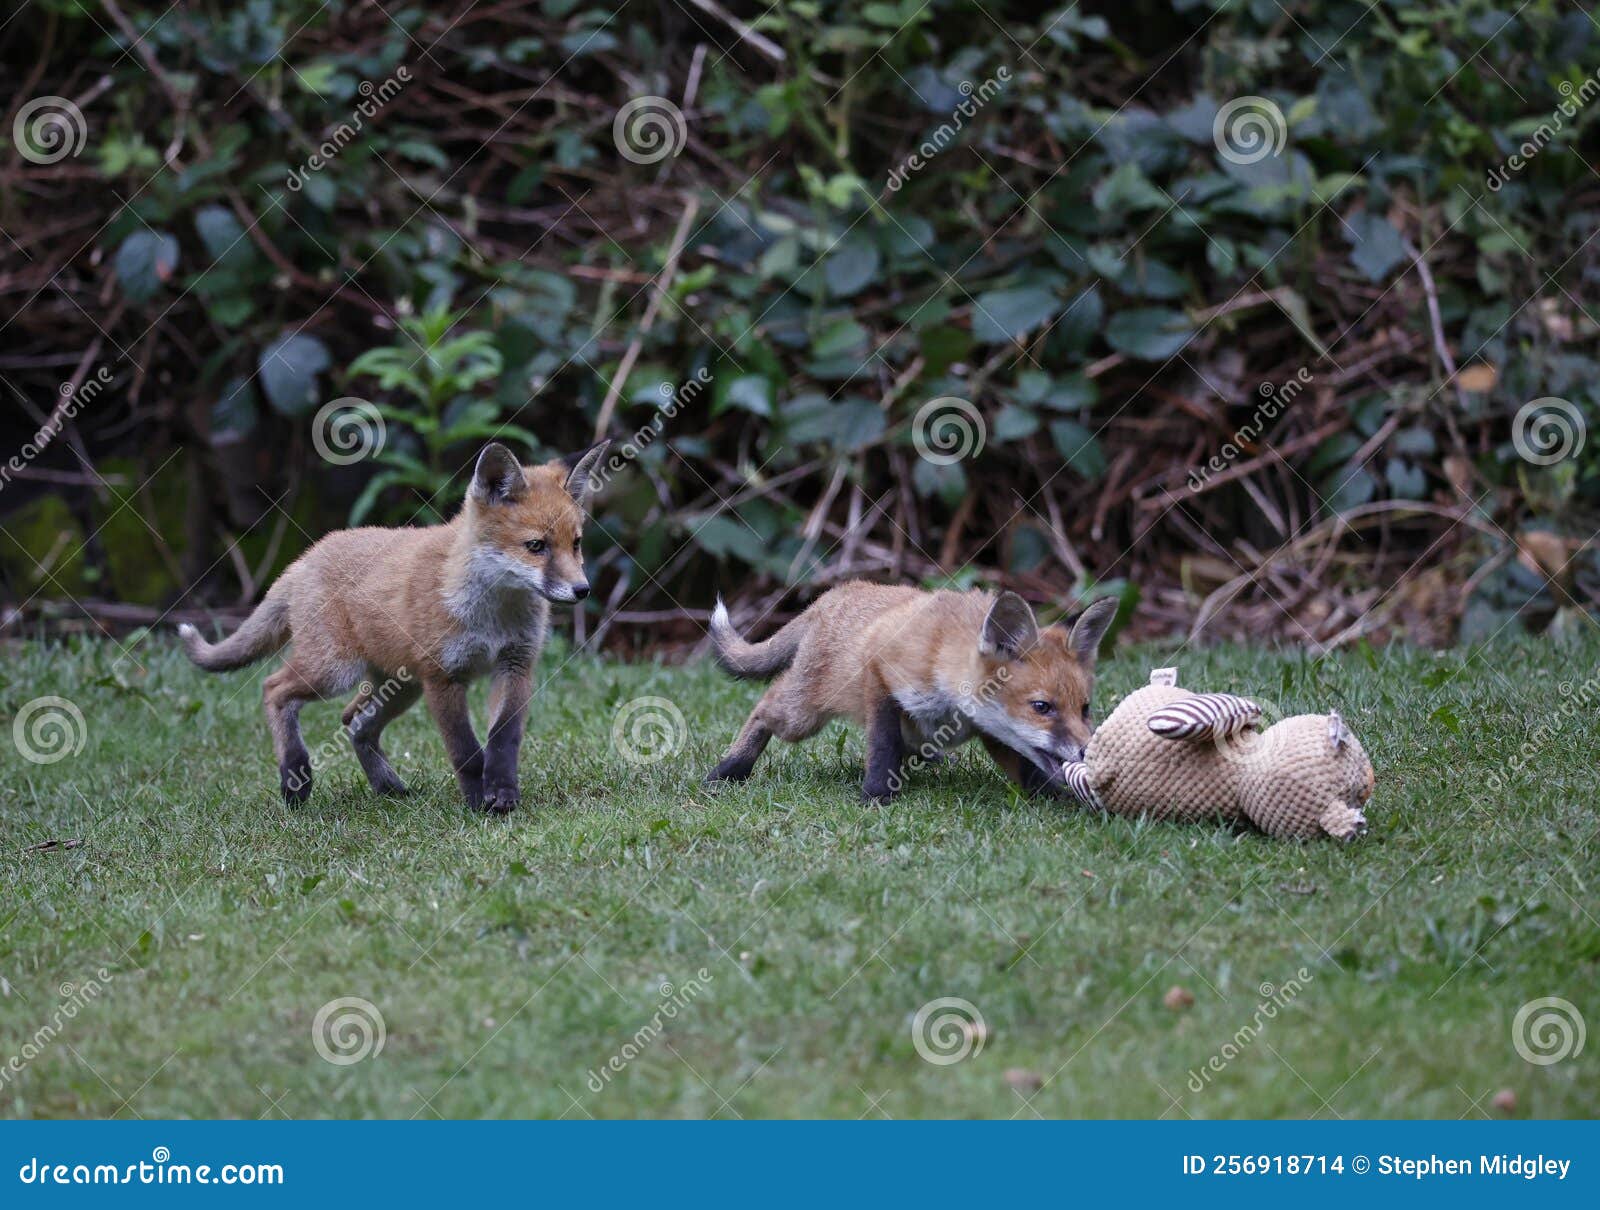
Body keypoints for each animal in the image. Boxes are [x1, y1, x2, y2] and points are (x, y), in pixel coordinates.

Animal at [178, 440, 609, 813]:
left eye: (576, 543)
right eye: (536, 546)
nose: (583, 590)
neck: (494, 614)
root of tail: (303, 558)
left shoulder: (515, 665)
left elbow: (503, 741)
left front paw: (502, 795)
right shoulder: (441, 677)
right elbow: (466, 751)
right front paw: (477, 804)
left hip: (399, 687)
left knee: (353, 722)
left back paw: (387, 786)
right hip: (336, 671)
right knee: (274, 689)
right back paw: (295, 778)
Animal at [704, 582, 1118, 802]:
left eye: (1085, 708)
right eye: (1042, 707)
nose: (1089, 750)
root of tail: (832, 594)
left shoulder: (991, 728)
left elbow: (1028, 769)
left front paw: (1061, 800)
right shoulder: (880, 671)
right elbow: (883, 743)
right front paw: (876, 796)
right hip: (802, 715)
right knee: (765, 705)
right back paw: (729, 769)